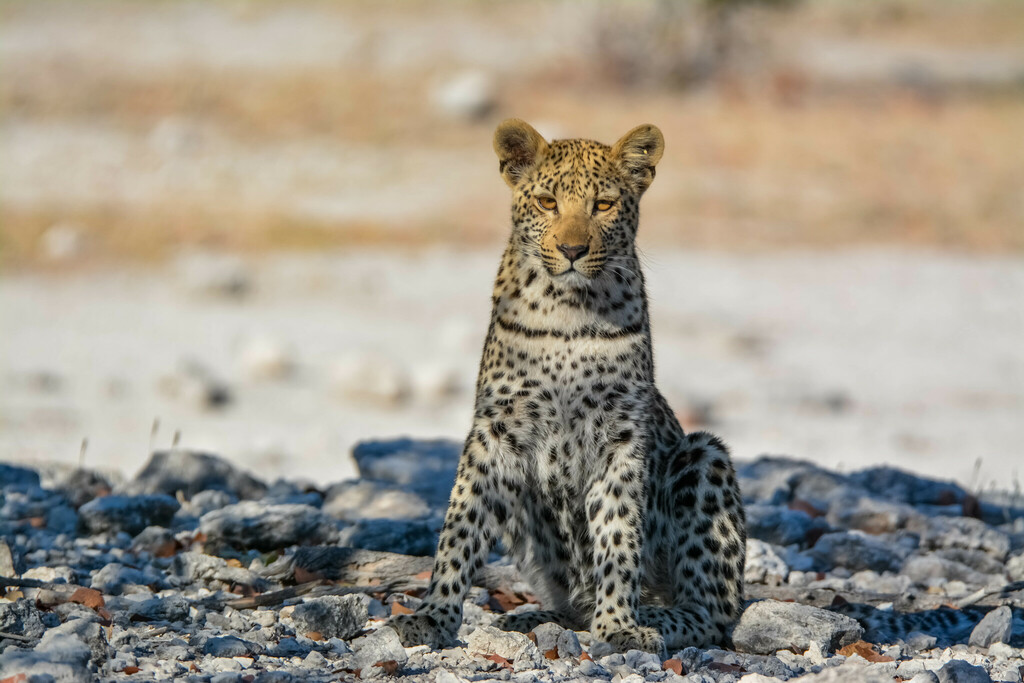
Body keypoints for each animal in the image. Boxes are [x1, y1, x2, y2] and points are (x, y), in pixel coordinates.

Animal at [388, 119, 746, 656]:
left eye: (603, 204)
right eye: (547, 202)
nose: (572, 250)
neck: (568, 312)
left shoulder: (622, 435)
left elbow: (619, 536)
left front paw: (619, 624)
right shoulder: (496, 431)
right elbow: (459, 529)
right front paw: (431, 616)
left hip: (704, 454)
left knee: (714, 614)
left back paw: (654, 619)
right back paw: (530, 618)